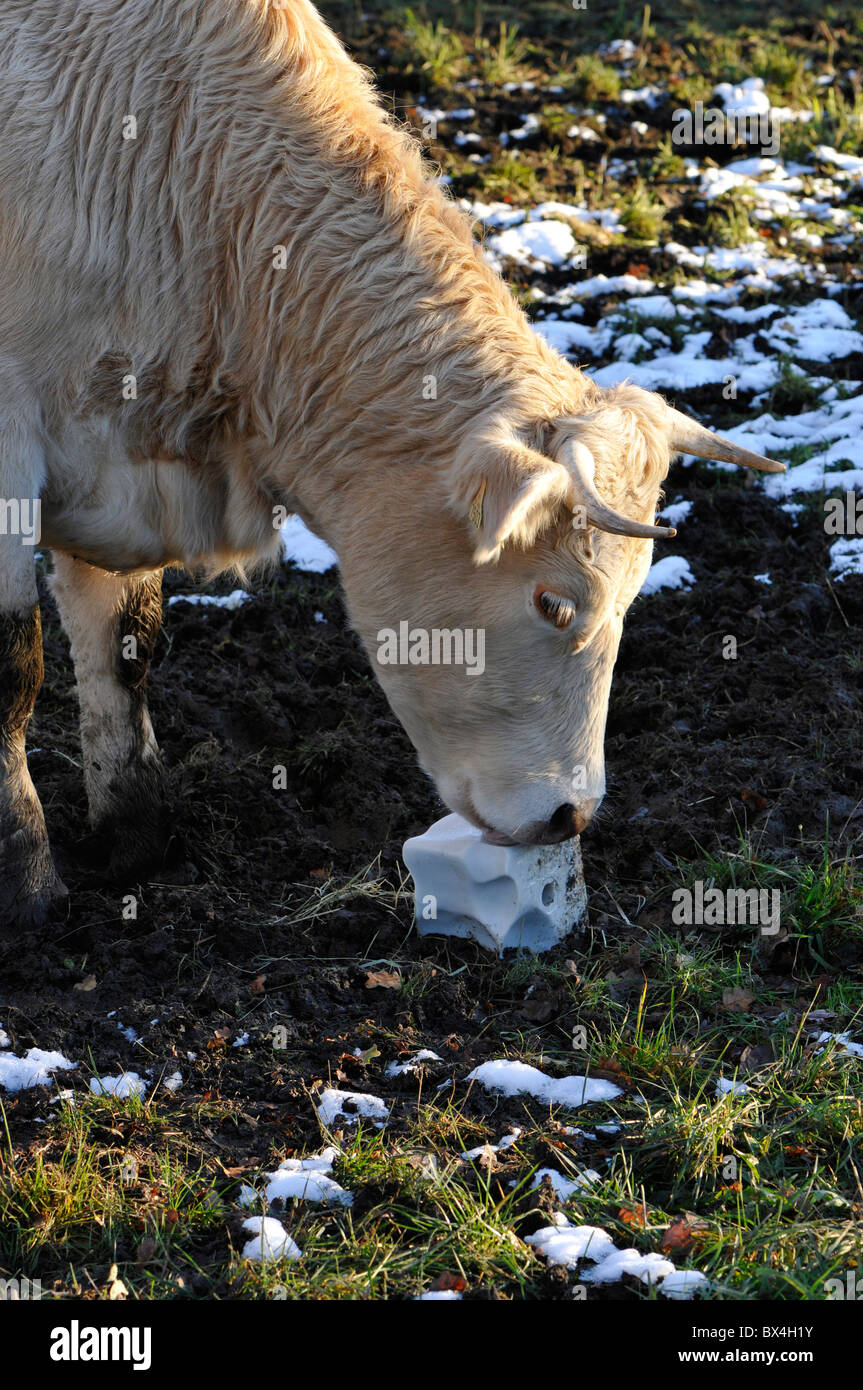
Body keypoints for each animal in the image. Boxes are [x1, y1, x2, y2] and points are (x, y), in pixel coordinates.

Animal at [0, 0, 783, 926]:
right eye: (554, 602)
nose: (571, 813)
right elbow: (14, 666)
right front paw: (26, 883)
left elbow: (125, 646)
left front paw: (134, 841)